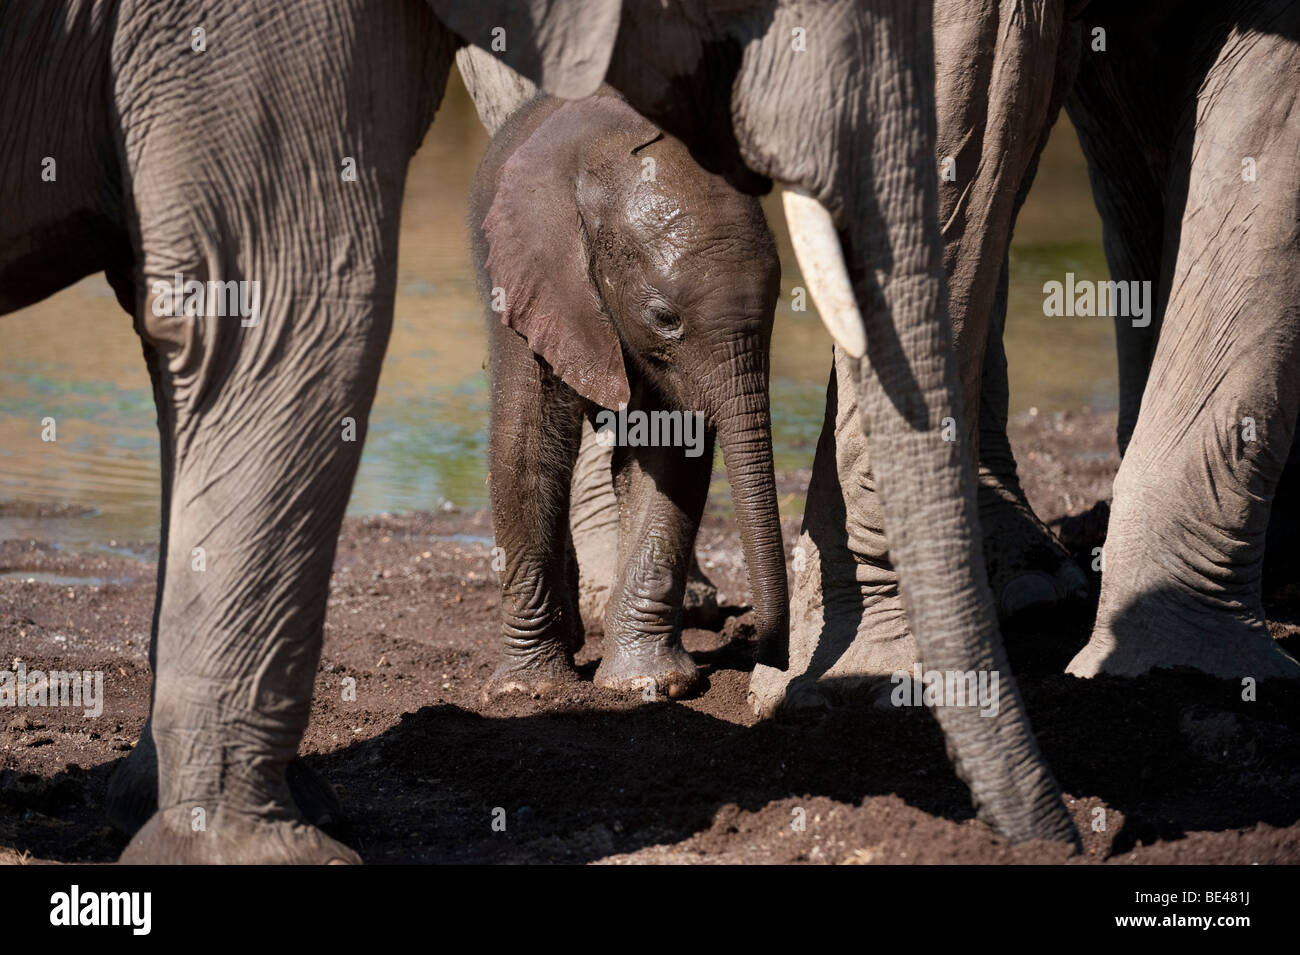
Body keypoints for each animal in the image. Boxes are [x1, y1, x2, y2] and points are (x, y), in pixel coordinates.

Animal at [469, 90, 784, 700]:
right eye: (664, 319)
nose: (768, 657)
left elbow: (667, 456)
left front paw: (651, 683)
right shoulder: (532, 277)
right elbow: (525, 449)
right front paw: (530, 691)